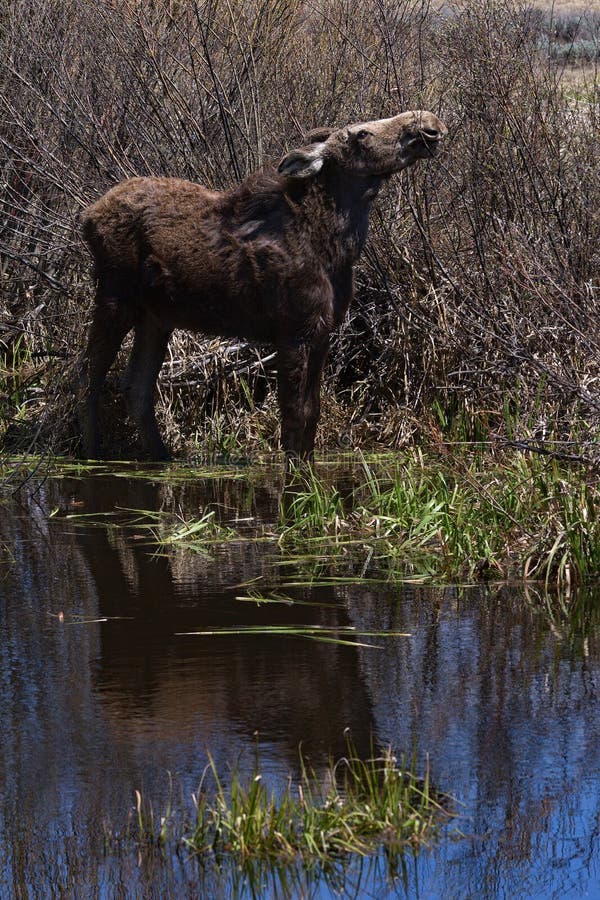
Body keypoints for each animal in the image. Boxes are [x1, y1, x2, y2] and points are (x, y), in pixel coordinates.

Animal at [78, 110, 447, 467]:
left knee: (137, 388)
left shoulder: (322, 332)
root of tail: (87, 216)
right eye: (362, 133)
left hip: (157, 317)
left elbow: (313, 411)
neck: (335, 247)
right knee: (87, 376)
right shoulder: (294, 331)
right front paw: (295, 475)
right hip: (114, 296)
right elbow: (294, 413)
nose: (429, 123)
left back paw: (162, 459)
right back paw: (90, 455)